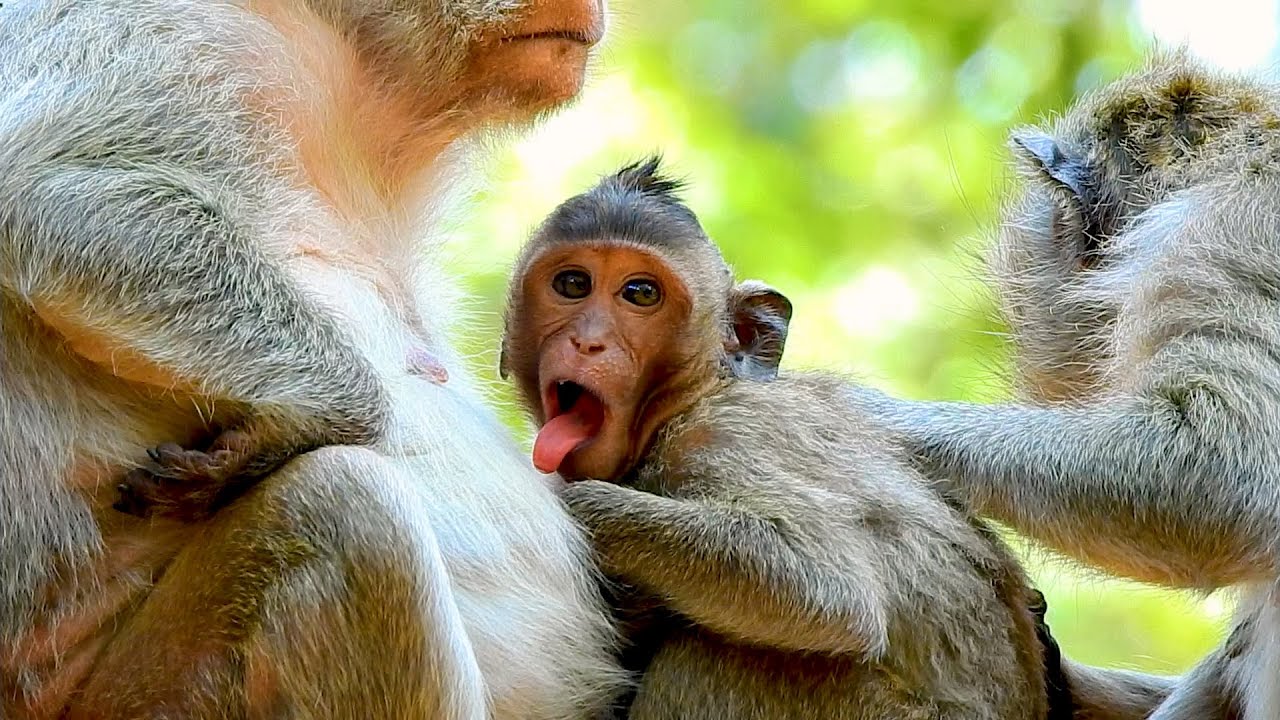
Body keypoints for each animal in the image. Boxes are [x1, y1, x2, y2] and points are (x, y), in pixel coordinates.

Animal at [499, 157, 1068, 720]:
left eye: (640, 294)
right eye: (574, 284)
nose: (588, 341)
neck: (690, 400)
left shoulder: (724, 437)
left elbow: (827, 591)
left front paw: (579, 508)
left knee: (710, 652)